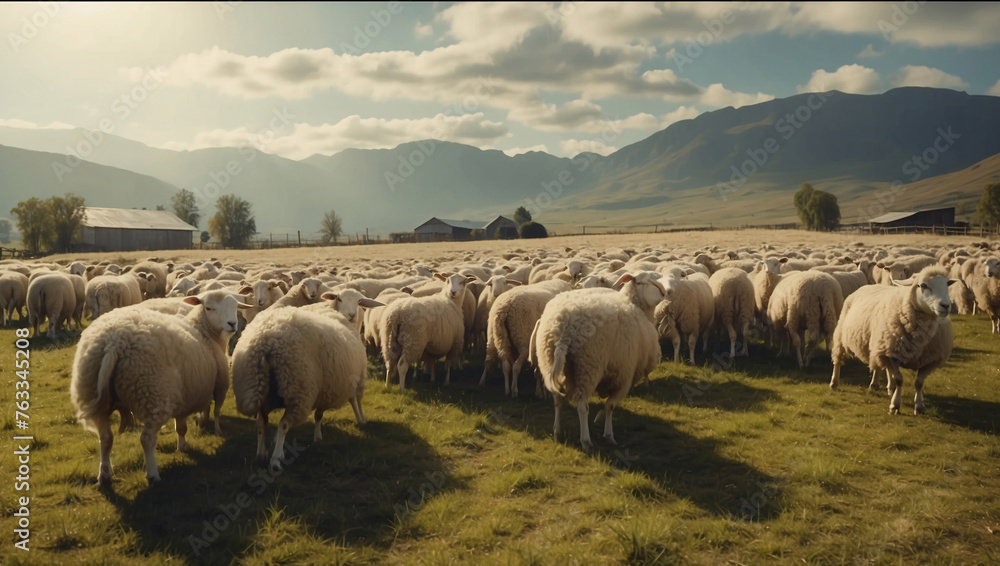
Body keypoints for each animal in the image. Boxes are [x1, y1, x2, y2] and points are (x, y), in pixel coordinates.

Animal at [70, 290, 250, 484]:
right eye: (209, 307)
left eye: (235, 306)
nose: (232, 324)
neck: (203, 331)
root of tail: (114, 343)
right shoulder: (218, 385)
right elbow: (214, 412)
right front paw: (215, 432)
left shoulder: (183, 394)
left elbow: (181, 426)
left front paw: (183, 445)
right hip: (152, 394)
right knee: (147, 439)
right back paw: (153, 474)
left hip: (93, 394)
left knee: (105, 438)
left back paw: (104, 474)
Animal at [231, 300, 368, 471]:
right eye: (341, 300)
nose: (352, 315)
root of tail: (267, 339)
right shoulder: (328, 390)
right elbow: (320, 414)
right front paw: (318, 437)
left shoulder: (323, 391)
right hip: (298, 390)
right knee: (283, 425)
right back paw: (276, 460)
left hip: (257, 386)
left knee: (262, 423)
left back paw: (261, 454)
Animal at [528, 272, 663, 452]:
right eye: (641, 282)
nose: (664, 293)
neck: (635, 305)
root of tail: (564, 328)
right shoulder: (624, 376)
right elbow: (610, 406)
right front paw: (608, 434)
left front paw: (599, 421)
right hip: (588, 367)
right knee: (582, 406)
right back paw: (586, 441)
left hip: (548, 360)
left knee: (557, 400)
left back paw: (557, 432)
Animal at [829, 266, 954, 414]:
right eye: (923, 285)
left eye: (947, 284)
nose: (945, 305)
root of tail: (869, 285)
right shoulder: (888, 352)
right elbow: (899, 379)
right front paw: (895, 405)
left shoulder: (930, 359)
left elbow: (919, 383)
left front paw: (919, 406)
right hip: (842, 334)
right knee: (838, 358)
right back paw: (834, 383)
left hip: (880, 343)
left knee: (878, 364)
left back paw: (880, 385)